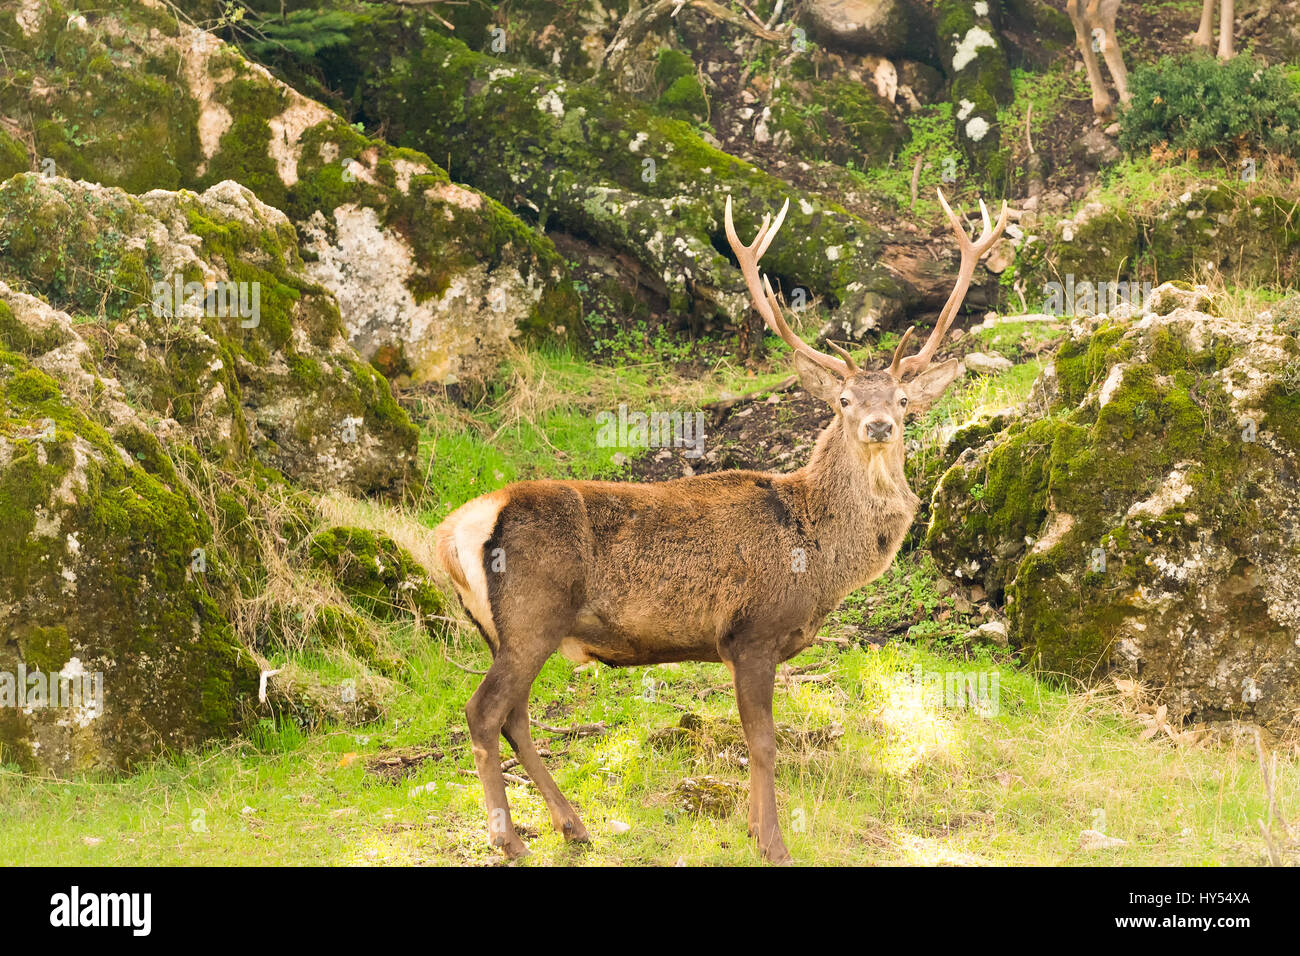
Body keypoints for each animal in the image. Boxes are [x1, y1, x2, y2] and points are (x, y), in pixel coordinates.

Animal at [433, 190, 1008, 863]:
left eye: (903, 400)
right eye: (842, 401)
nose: (878, 425)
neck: (818, 559)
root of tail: (450, 534)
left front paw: (757, 831)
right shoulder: (750, 632)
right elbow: (764, 743)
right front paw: (774, 843)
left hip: (503, 631)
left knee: (515, 717)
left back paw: (573, 825)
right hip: (532, 616)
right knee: (483, 711)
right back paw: (509, 839)